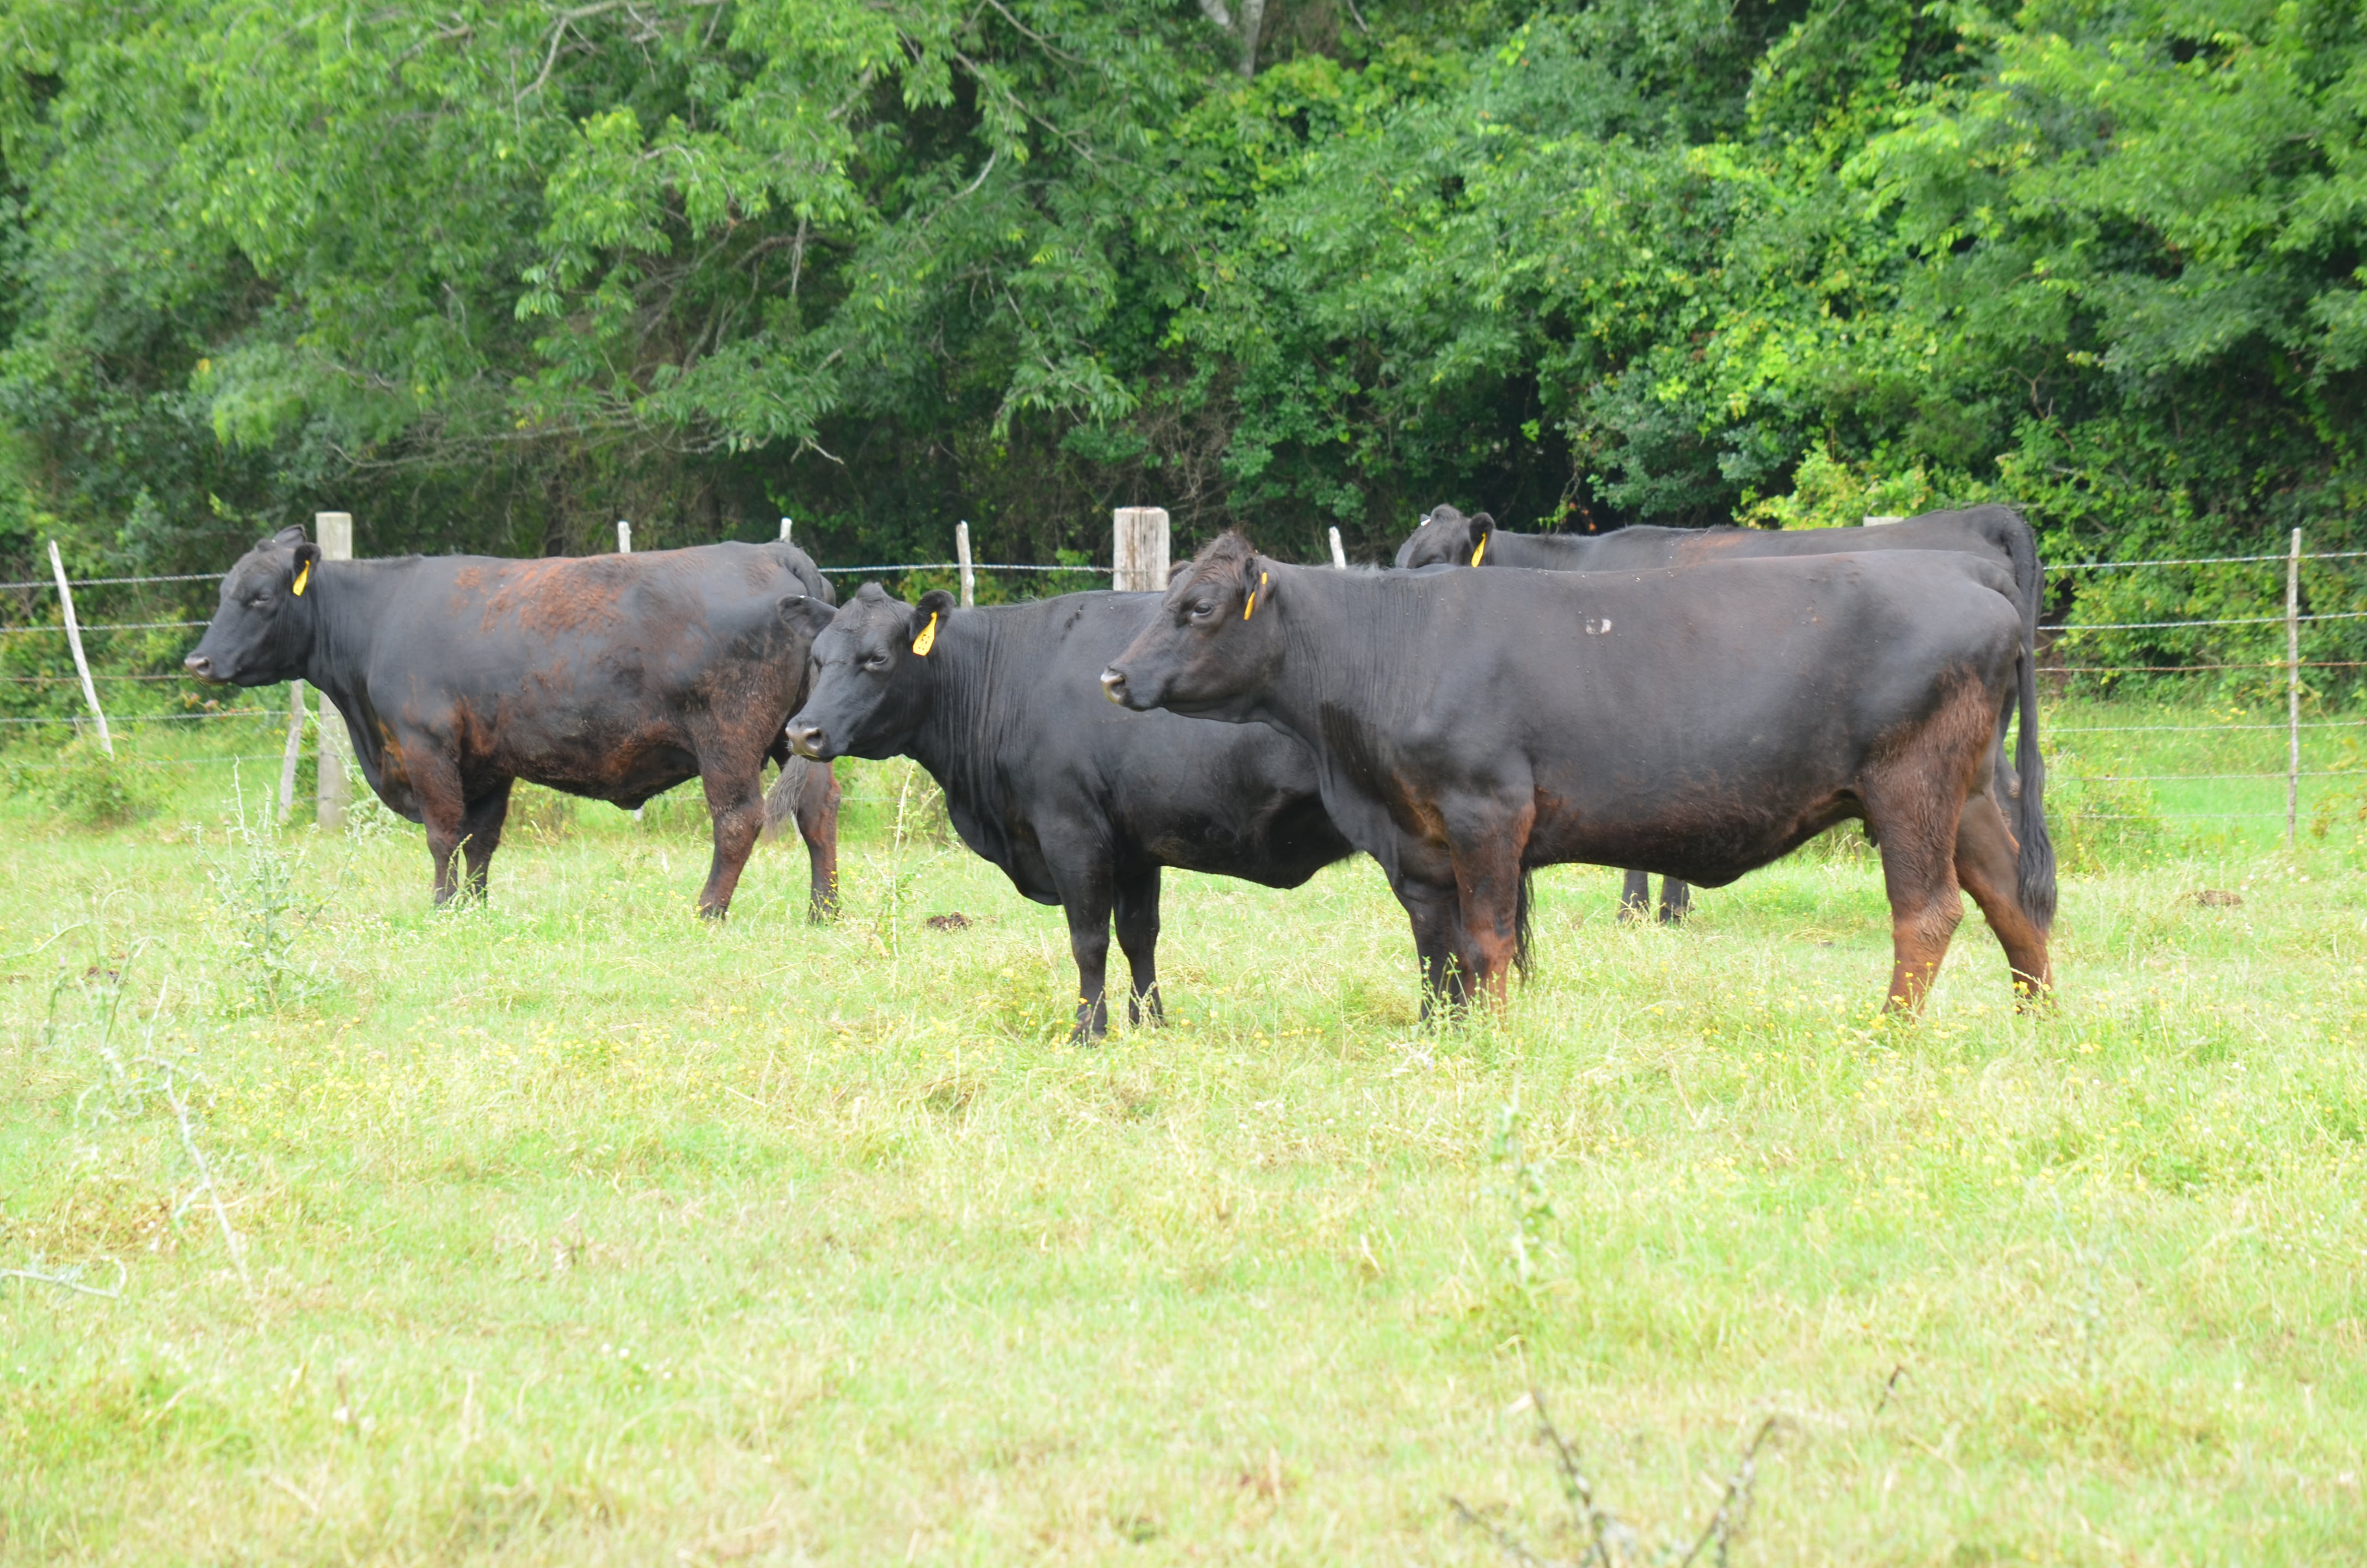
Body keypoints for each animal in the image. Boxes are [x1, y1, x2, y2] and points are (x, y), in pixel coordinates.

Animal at [183, 526, 844, 920]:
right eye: (222, 592)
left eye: (261, 597)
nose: (198, 661)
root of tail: (771, 551)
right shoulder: (486, 762)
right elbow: (481, 839)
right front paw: (474, 909)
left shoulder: (426, 745)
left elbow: (443, 834)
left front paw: (442, 908)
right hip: (796, 737)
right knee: (818, 810)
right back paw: (823, 910)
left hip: (728, 739)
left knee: (737, 820)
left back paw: (707, 910)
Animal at [784, 583, 1355, 1040]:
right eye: (818, 658)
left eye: (878, 658)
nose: (802, 732)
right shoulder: (1137, 848)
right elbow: (1139, 937)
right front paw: (1150, 1024)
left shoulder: (1072, 833)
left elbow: (1090, 940)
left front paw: (1089, 1031)